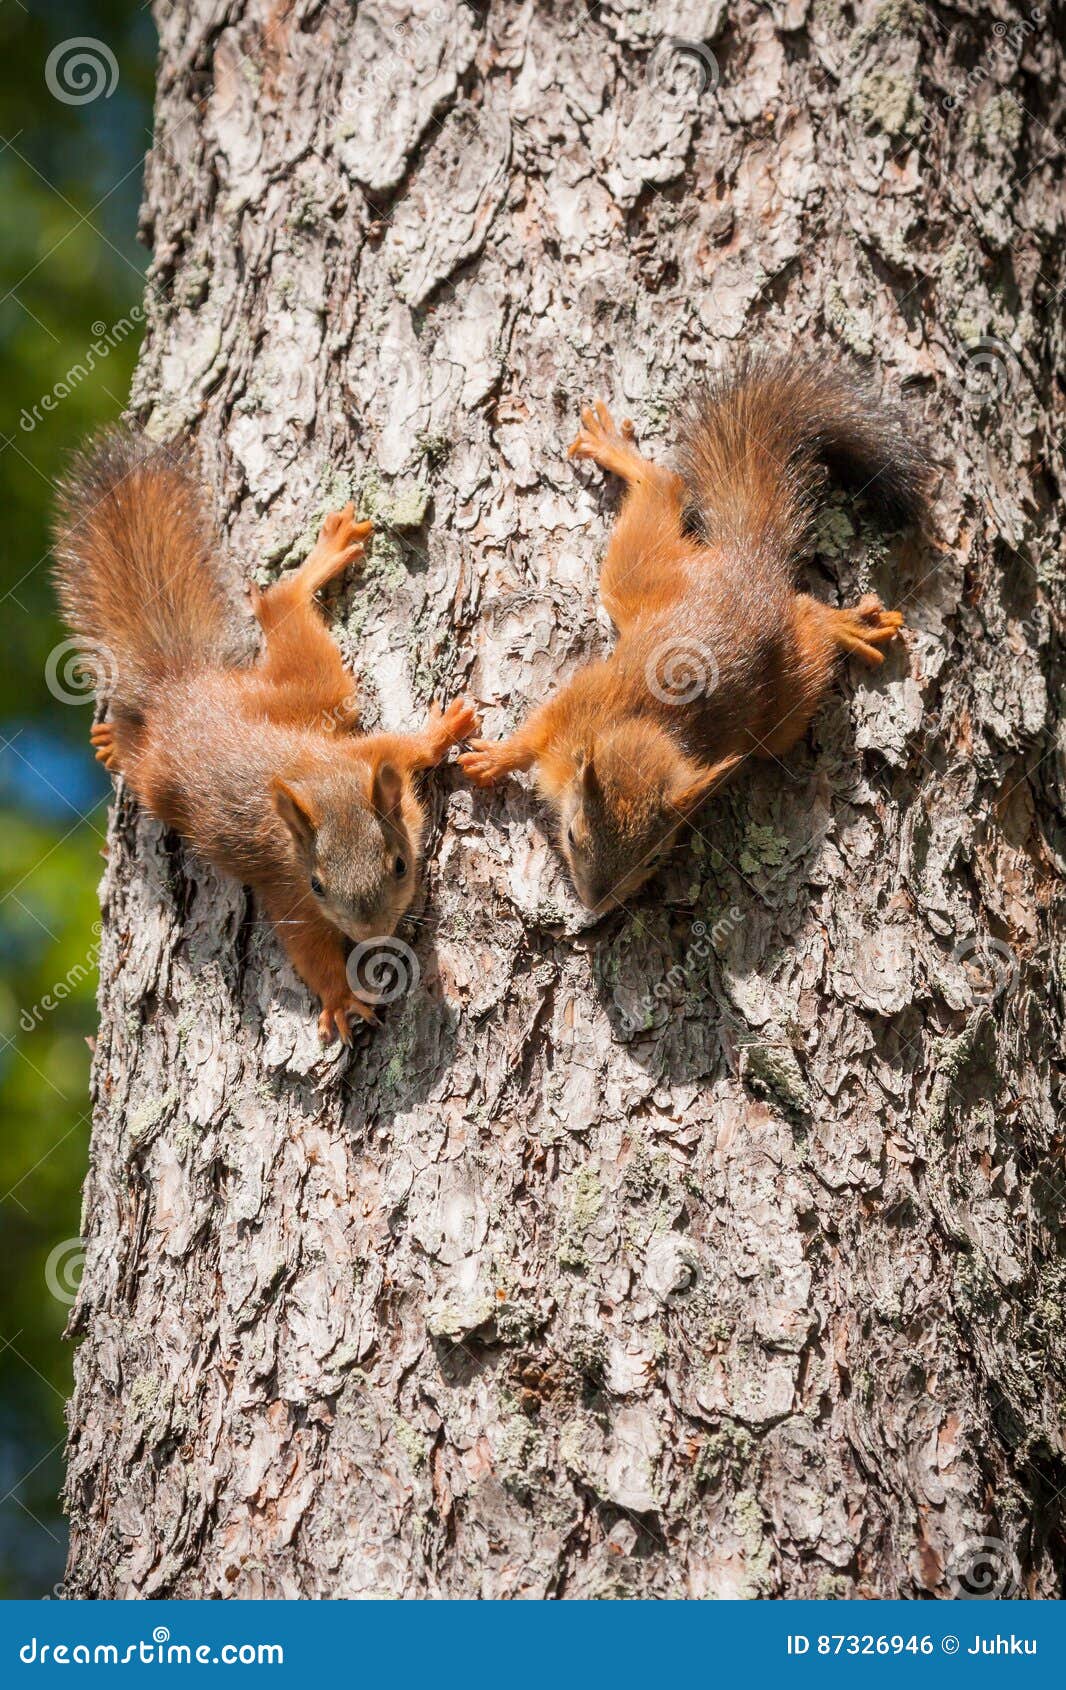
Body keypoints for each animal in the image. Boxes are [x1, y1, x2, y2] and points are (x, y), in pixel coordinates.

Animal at [53, 433, 477, 1042]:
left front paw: (443, 729)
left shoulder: (362, 757)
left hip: (305, 700)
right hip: (239, 735)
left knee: (281, 611)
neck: (330, 787)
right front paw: (340, 1000)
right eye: (320, 885)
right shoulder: (288, 890)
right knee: (278, 604)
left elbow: (406, 749)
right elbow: (308, 950)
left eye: (400, 864)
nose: (372, 932)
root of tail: (184, 689)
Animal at [459, 354, 929, 913]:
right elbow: (533, 734)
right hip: (642, 574)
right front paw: (498, 758)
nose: (595, 906)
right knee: (663, 489)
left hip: (779, 704)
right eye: (572, 835)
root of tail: (751, 564)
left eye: (654, 859)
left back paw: (842, 623)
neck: (646, 726)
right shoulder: (576, 706)